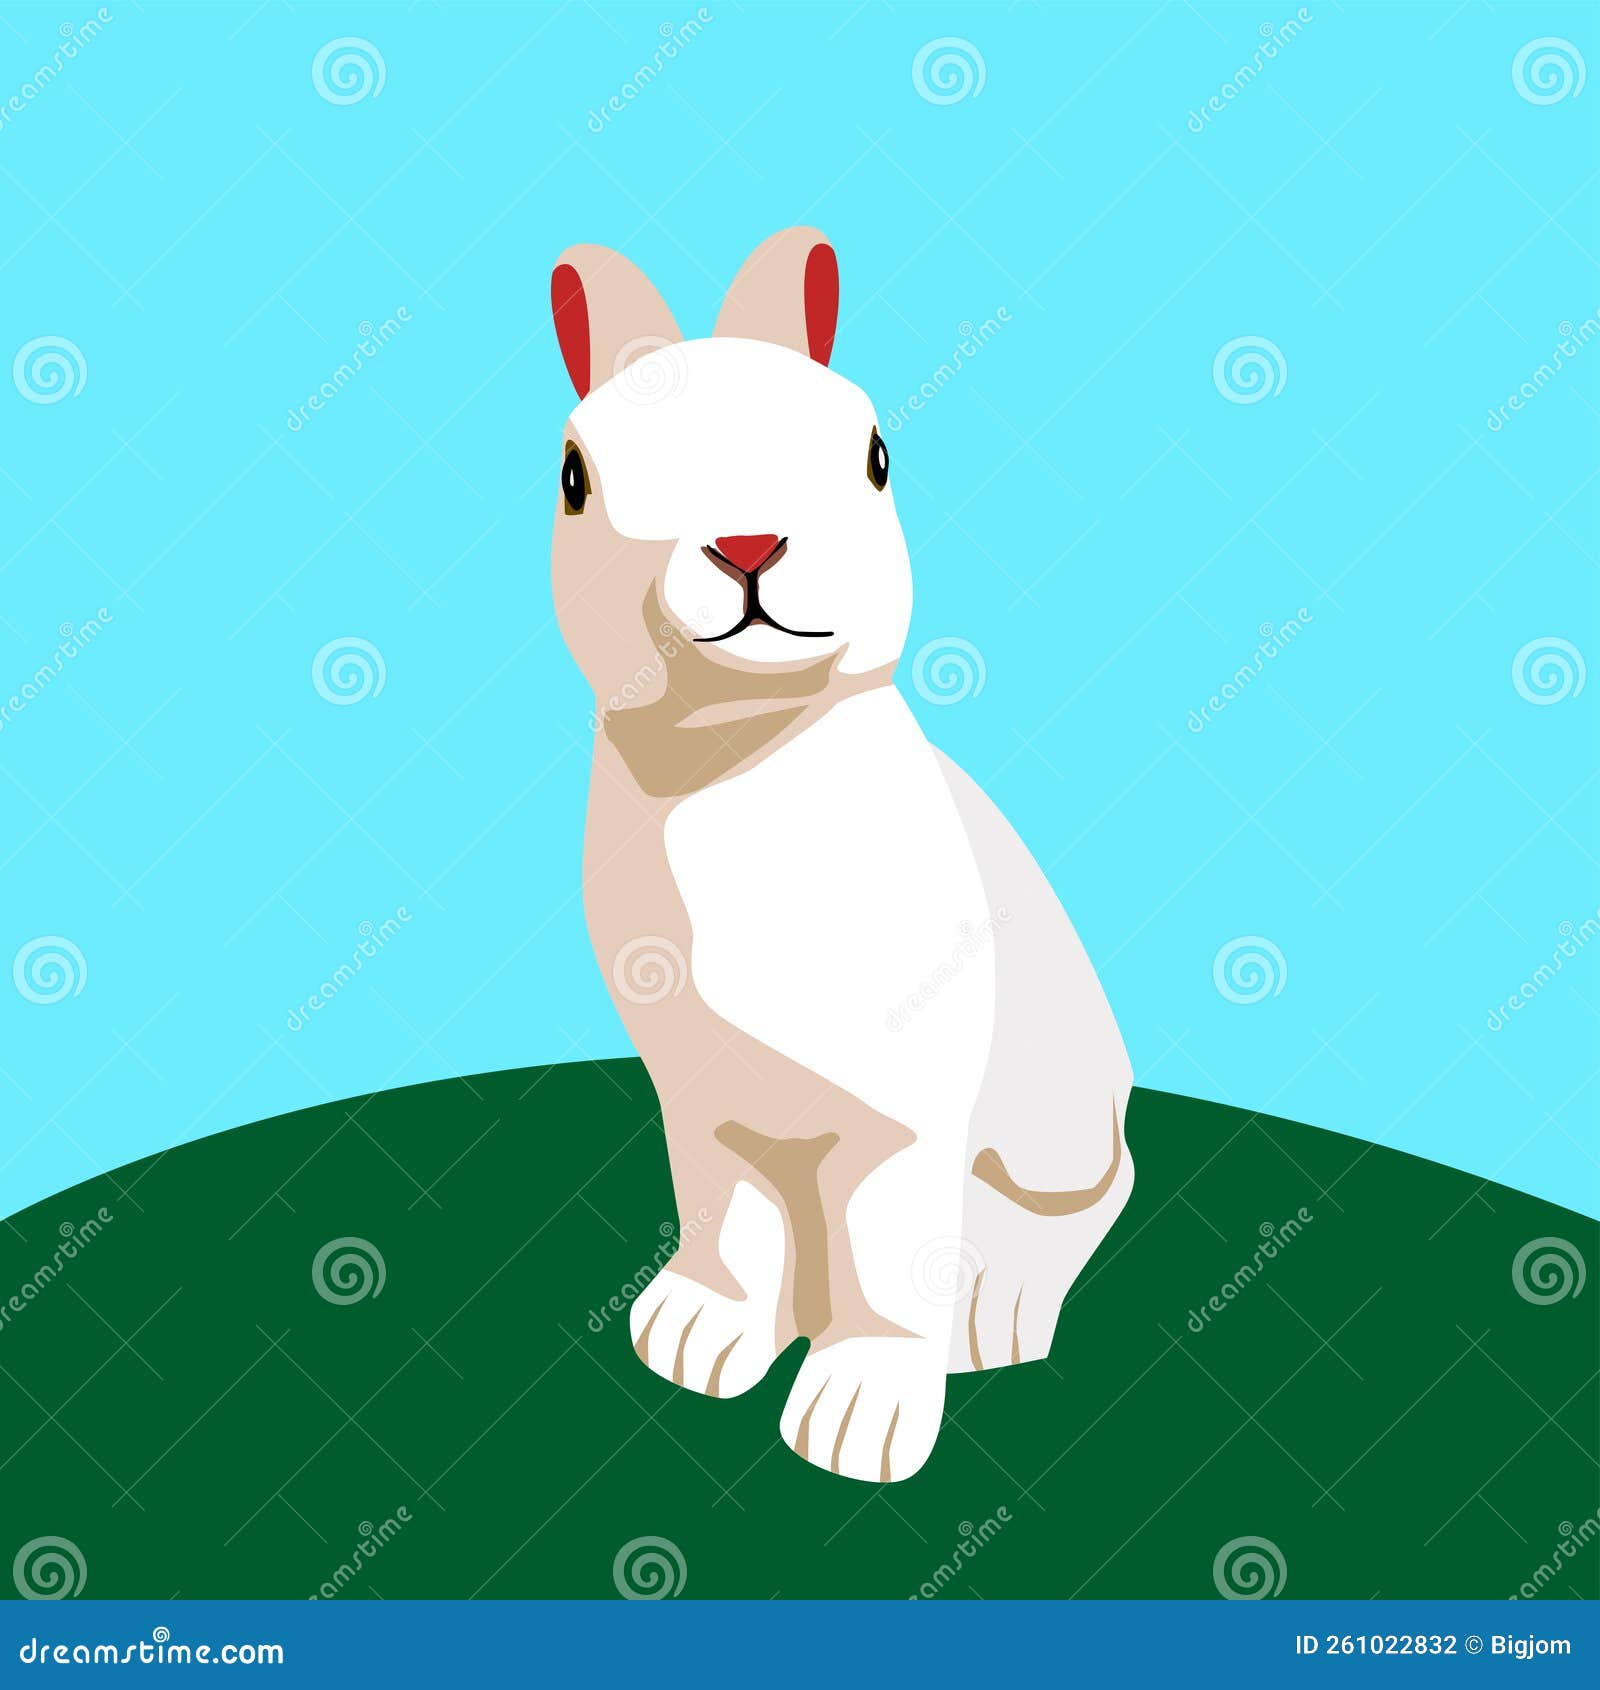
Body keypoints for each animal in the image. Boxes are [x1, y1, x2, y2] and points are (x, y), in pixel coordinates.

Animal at [549, 227, 1133, 1483]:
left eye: (874, 457)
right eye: (574, 478)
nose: (749, 543)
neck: (736, 744)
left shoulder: (900, 1123)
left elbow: (884, 1257)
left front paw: (857, 1422)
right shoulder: (705, 1102)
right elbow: (726, 1218)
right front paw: (695, 1340)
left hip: (1056, 1140)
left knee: (1074, 1211)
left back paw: (992, 1322)